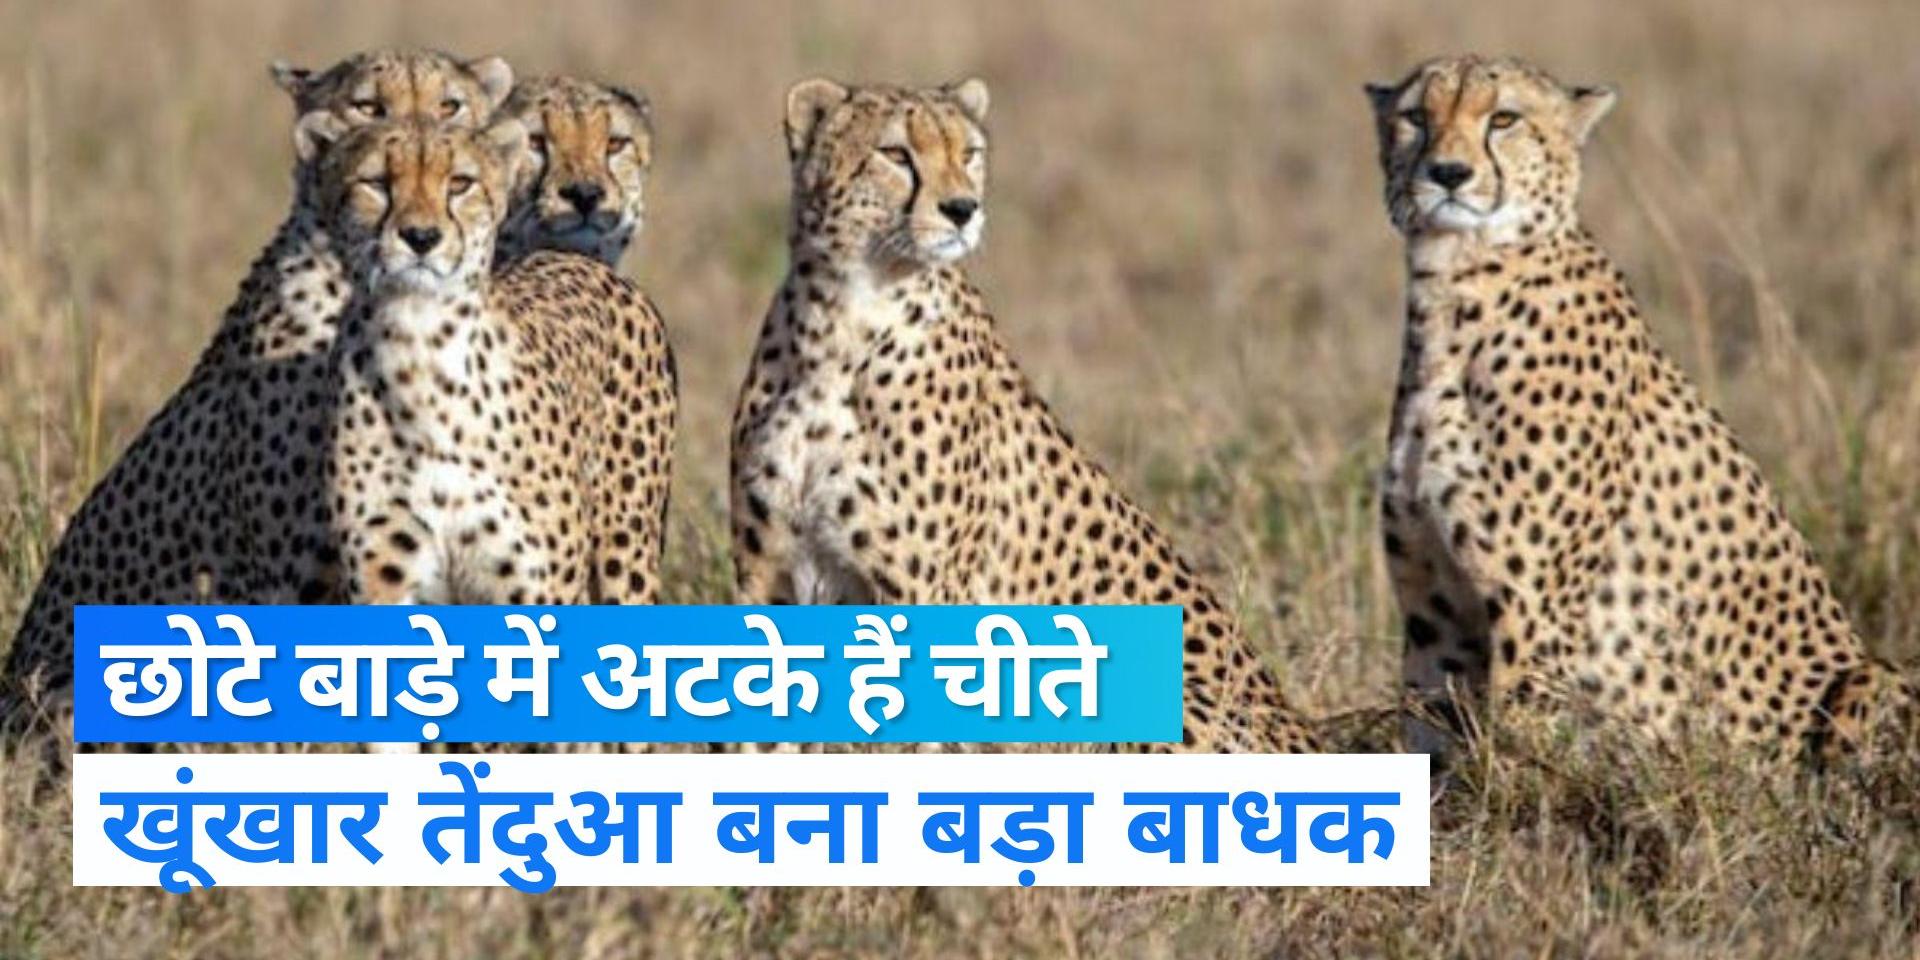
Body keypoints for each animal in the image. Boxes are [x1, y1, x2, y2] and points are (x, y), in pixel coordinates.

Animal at [318, 114, 675, 608]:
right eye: (376, 183)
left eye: (459, 183)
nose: (421, 237)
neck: (419, 345)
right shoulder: (383, 580)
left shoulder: (538, 588)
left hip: (625, 555)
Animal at [727, 77, 1317, 753]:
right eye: (896, 154)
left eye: (970, 153)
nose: (963, 208)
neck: (842, 321)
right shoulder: (769, 577)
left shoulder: (924, 598)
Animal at [1367, 53, 1913, 764]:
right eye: (1414, 117)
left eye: (1504, 118)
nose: (1448, 173)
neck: (1457, 286)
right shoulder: (1437, 615)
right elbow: (1431, 742)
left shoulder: (1533, 619)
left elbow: (1514, 754)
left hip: (1874, 676)